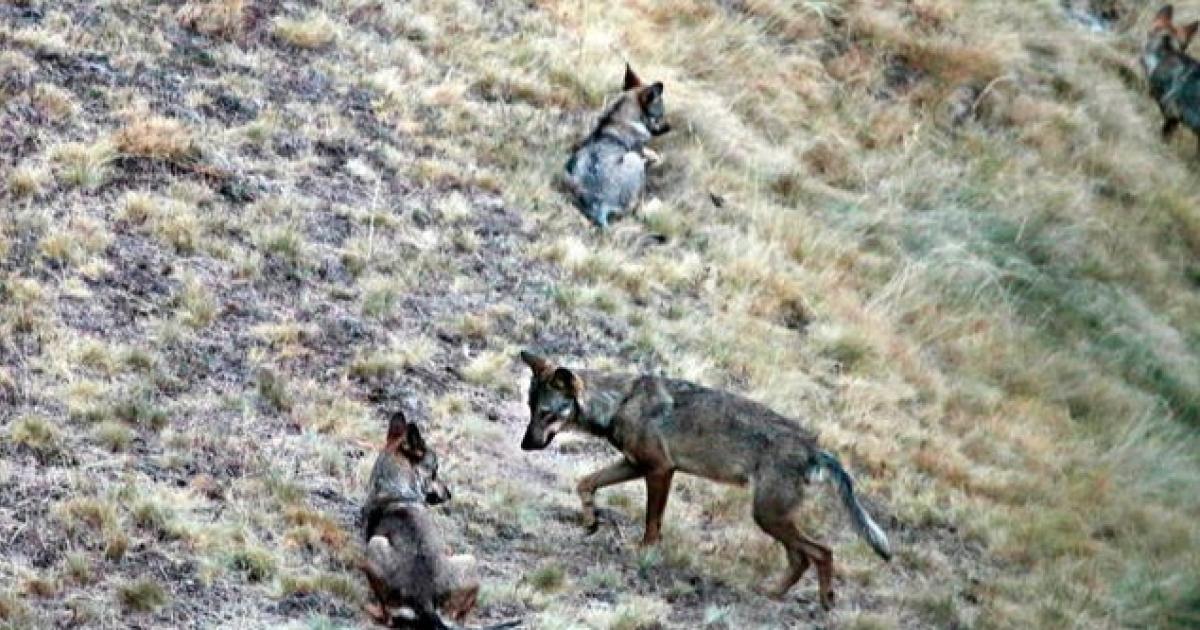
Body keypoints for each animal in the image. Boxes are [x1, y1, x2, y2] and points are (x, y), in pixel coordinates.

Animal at [516, 352, 892, 610]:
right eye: (530, 409)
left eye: (546, 413)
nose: (525, 445)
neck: (620, 403)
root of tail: (814, 448)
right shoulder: (634, 464)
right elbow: (585, 483)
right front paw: (591, 520)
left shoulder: (659, 470)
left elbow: (652, 524)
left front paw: (644, 556)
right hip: (772, 519)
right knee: (802, 558)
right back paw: (771, 594)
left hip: (768, 517)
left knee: (822, 551)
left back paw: (825, 599)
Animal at [562, 64, 671, 228]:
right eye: (660, 115)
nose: (669, 127)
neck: (617, 116)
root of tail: (600, 204)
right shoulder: (639, 151)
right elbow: (654, 155)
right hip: (633, 159)